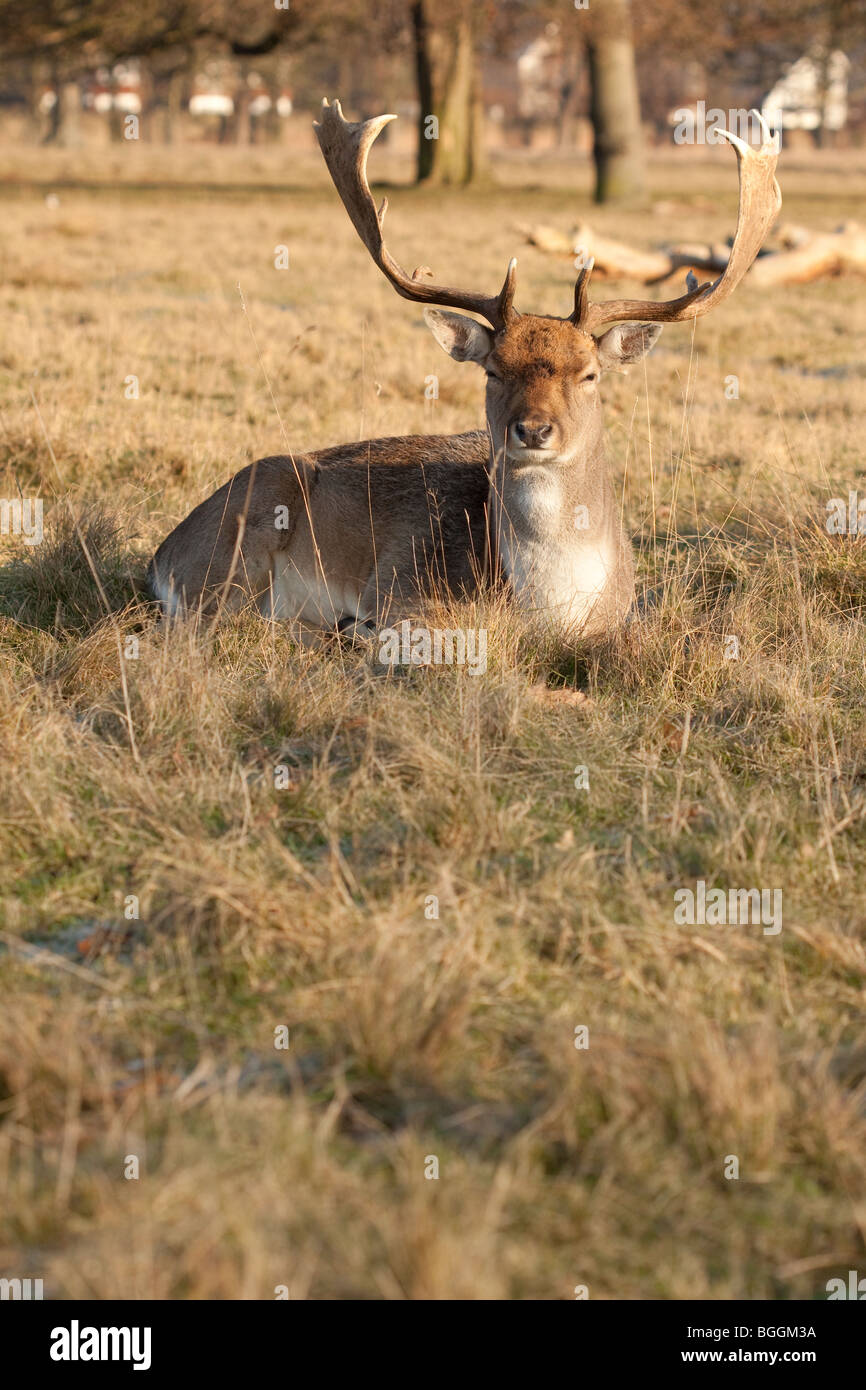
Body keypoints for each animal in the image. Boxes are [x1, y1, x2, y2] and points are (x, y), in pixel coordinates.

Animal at [149, 99, 780, 647]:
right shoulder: (401, 590)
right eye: (493, 371)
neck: (550, 610)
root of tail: (162, 554)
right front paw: (356, 631)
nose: (533, 429)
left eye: (590, 374)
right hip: (238, 545)